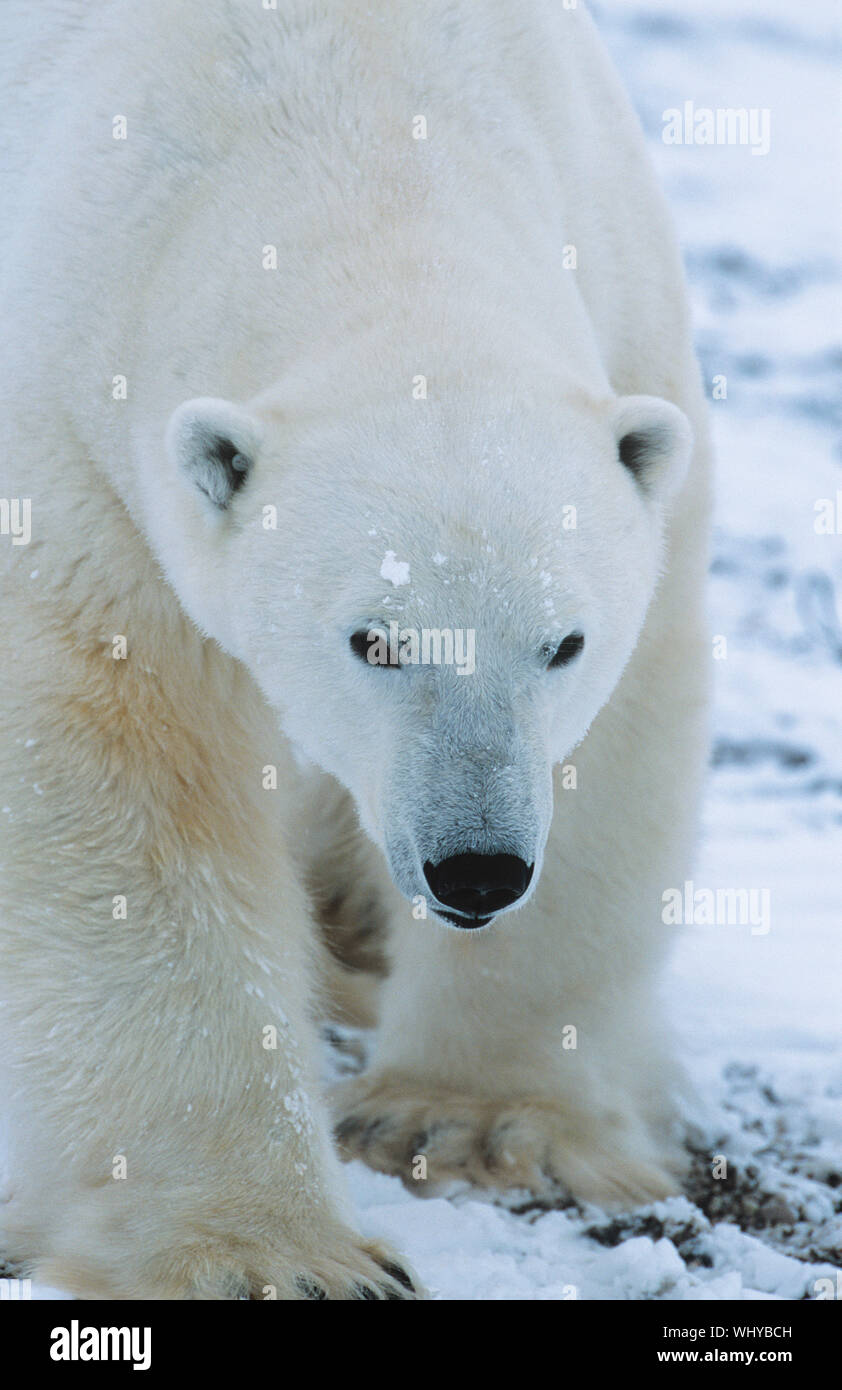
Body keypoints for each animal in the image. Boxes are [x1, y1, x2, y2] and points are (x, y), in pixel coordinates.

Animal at [0, 0, 711, 1298]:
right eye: (370, 638)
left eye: (562, 641)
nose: (475, 868)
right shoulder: (77, 428)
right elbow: (119, 771)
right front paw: (272, 1254)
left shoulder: (626, 325)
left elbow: (624, 732)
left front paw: (468, 1121)